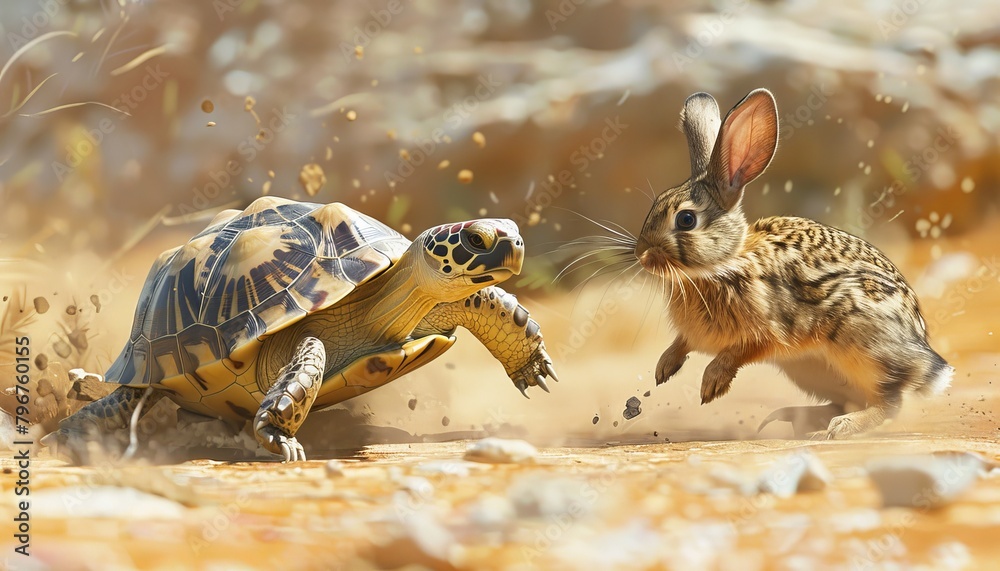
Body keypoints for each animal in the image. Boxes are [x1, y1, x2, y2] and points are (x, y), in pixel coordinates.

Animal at [634, 88, 953, 439]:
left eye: (686, 220)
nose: (642, 256)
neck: (724, 264)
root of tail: (923, 360)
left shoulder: (770, 332)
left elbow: (739, 352)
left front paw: (711, 384)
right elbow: (682, 343)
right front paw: (664, 368)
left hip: (863, 351)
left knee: (890, 404)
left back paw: (839, 427)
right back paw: (795, 419)